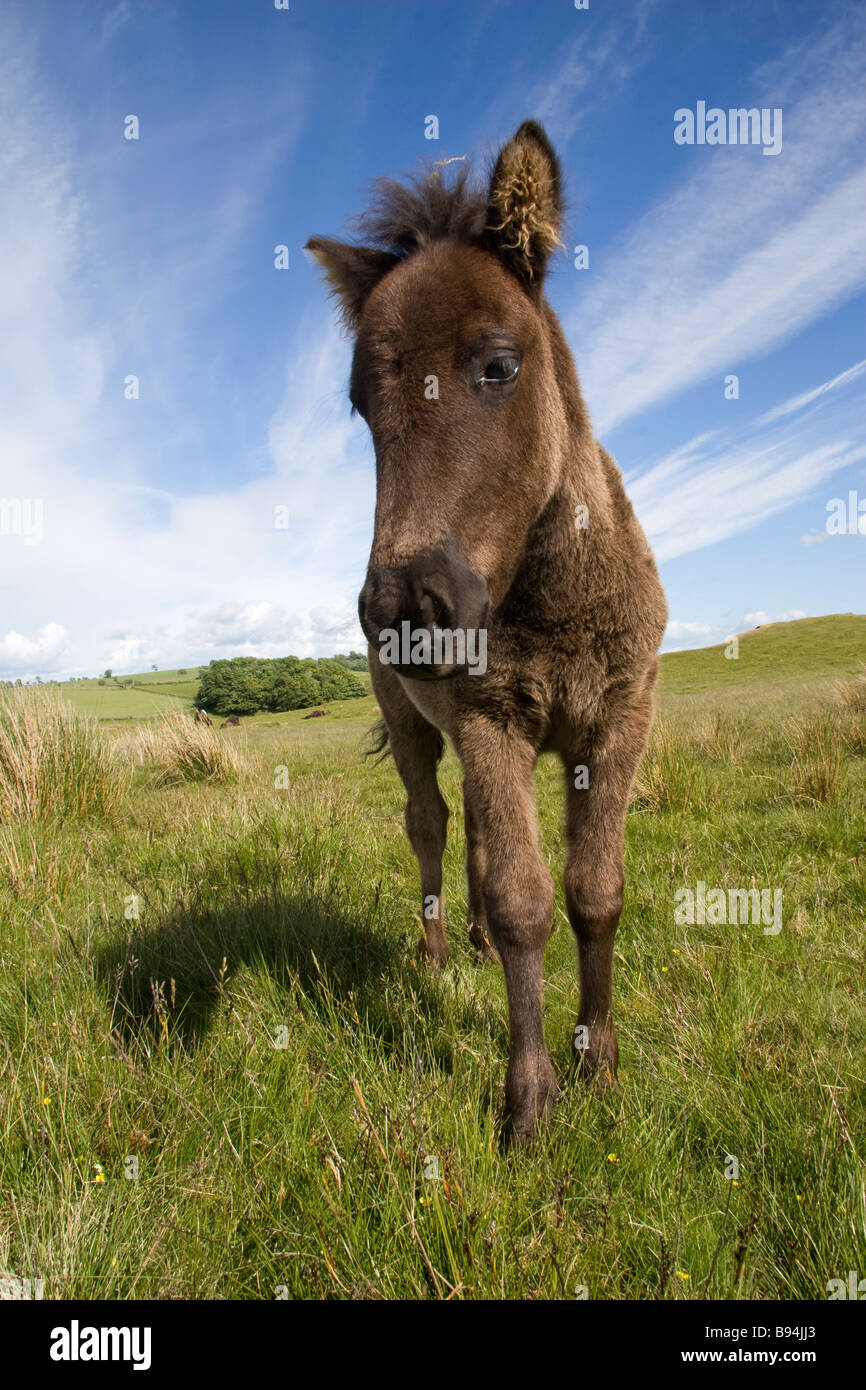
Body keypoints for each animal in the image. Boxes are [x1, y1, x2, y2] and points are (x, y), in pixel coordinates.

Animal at [307, 121, 667, 1144]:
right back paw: (435, 951)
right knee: (429, 822)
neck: (551, 602)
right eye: (362, 404)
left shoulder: (619, 720)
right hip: (420, 729)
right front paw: (531, 1100)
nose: (405, 612)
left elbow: (595, 893)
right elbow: (523, 904)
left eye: (499, 365)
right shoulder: (489, 723)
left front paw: (603, 1064)